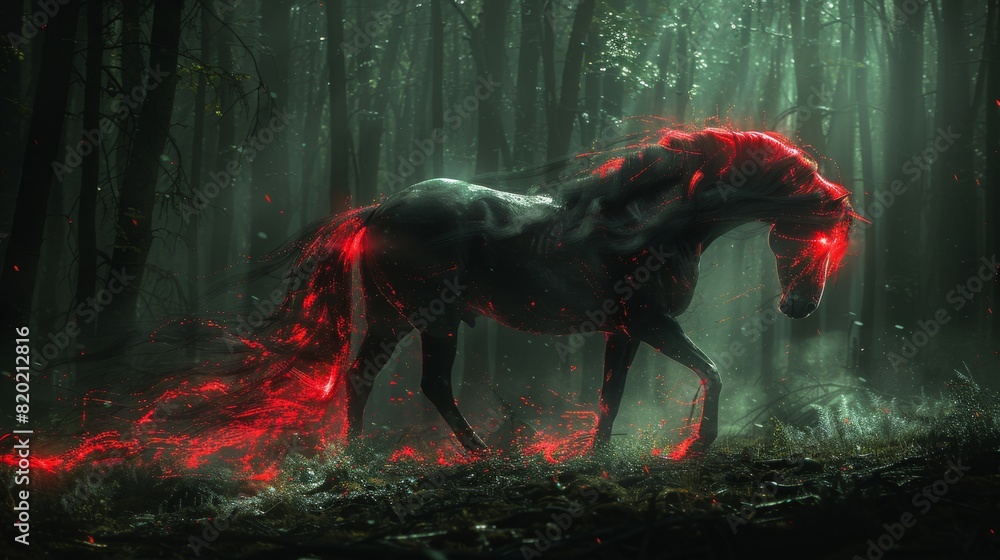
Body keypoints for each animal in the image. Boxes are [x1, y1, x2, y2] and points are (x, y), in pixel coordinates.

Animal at [282, 126, 858, 456]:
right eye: (815, 240)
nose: (800, 308)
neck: (656, 222)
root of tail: (380, 209)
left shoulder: (626, 331)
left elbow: (612, 395)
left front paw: (596, 457)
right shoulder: (651, 323)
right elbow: (712, 372)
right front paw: (698, 445)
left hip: (392, 318)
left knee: (363, 378)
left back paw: (357, 456)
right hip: (432, 321)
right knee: (432, 385)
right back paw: (482, 455)